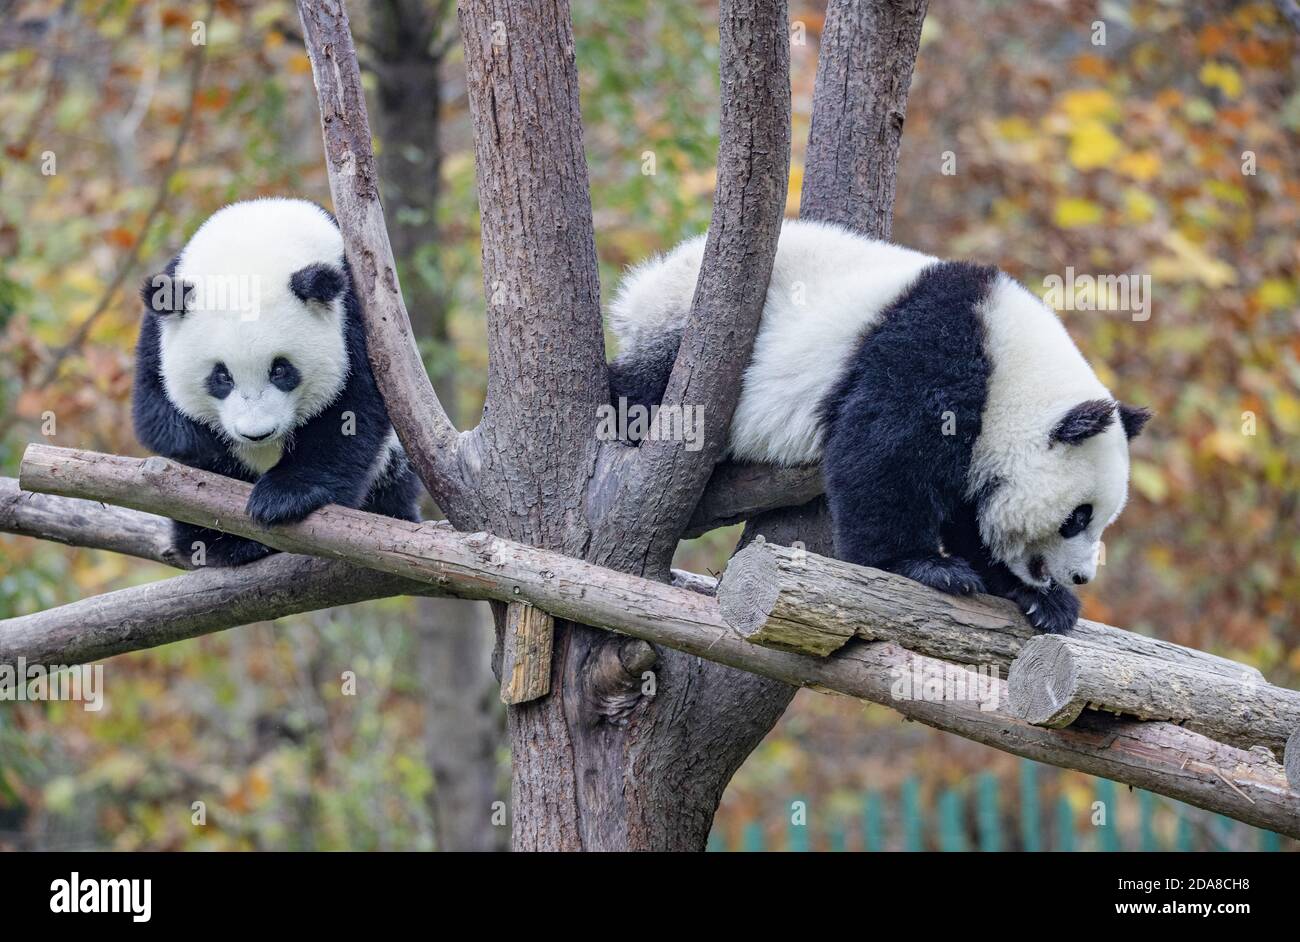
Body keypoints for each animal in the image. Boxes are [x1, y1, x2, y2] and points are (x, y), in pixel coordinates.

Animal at [132, 198, 421, 567]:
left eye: (281, 370)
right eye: (221, 376)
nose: (257, 434)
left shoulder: (356, 319)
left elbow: (352, 415)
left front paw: (283, 498)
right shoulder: (157, 331)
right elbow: (158, 416)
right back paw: (223, 543)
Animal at [608, 220, 1151, 634]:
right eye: (1077, 517)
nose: (1080, 576)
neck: (1012, 373)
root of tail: (646, 285)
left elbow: (968, 515)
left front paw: (1043, 600)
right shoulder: (933, 355)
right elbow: (882, 454)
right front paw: (927, 567)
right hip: (690, 338)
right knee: (643, 387)